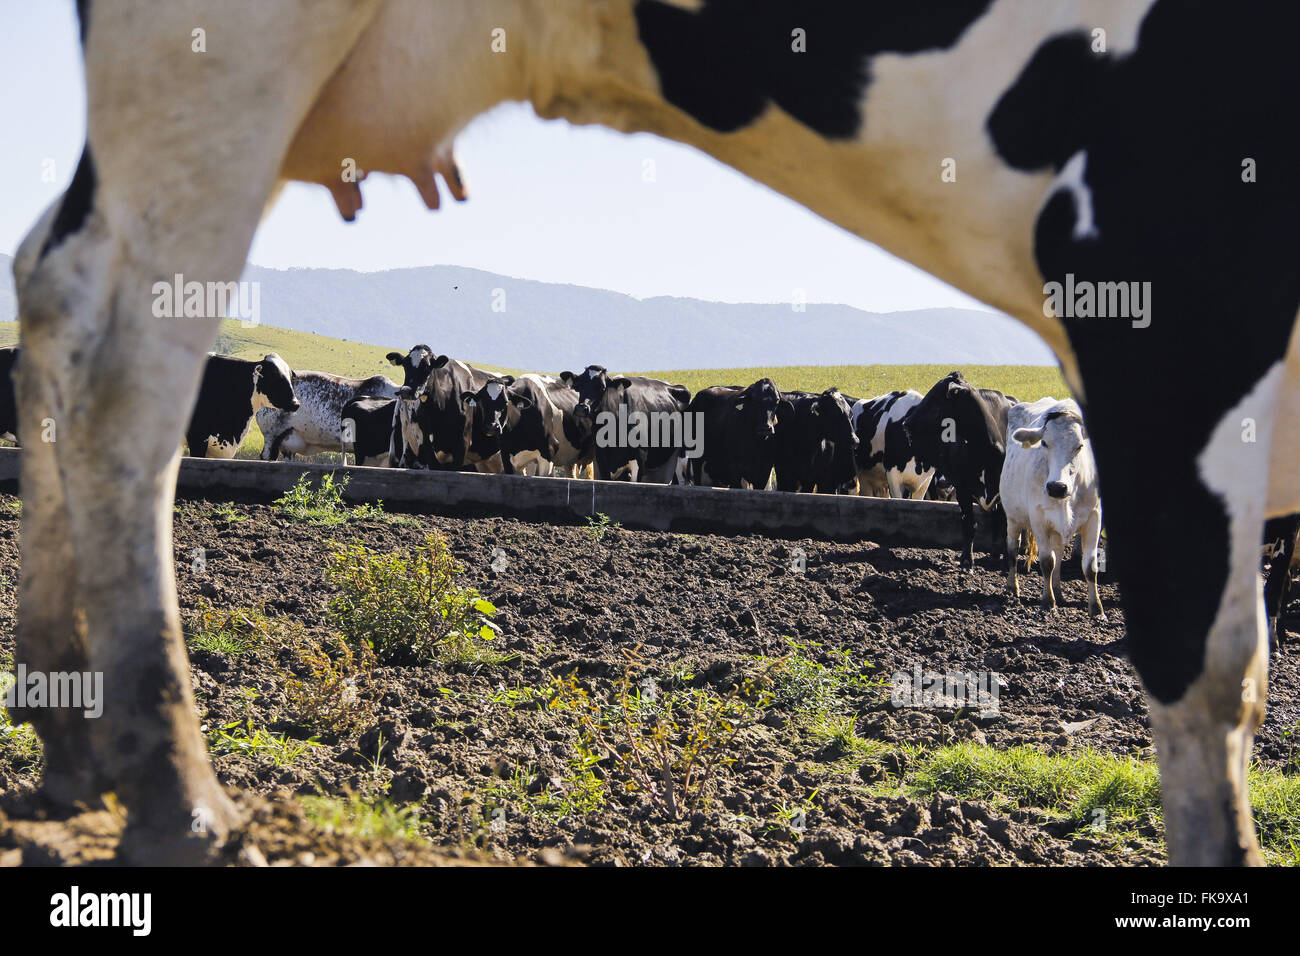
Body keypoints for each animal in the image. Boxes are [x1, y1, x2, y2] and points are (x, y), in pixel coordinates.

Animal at [903, 372, 1016, 568]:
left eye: (935, 399)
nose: (906, 423)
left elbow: (1003, 525)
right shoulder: (962, 488)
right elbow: (969, 524)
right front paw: (966, 560)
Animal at [1002, 398, 1105, 619]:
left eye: (1080, 446)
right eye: (1044, 443)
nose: (1057, 487)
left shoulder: (1094, 517)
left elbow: (1090, 566)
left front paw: (1096, 608)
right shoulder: (1038, 518)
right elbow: (1047, 561)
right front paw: (1048, 601)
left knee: (1058, 552)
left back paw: (1057, 590)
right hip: (1013, 518)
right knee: (1013, 549)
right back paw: (1012, 586)